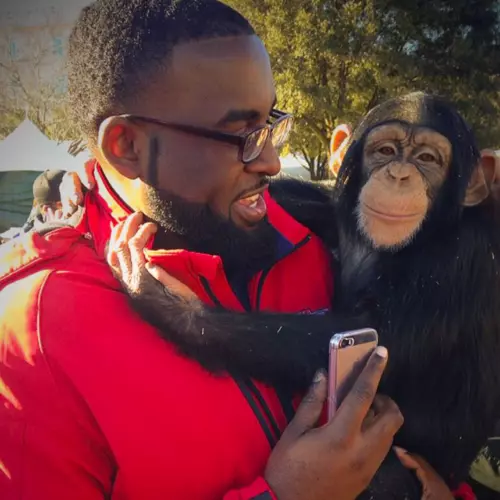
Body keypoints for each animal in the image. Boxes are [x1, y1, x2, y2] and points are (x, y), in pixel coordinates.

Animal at [118, 93, 500, 496]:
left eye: (428, 158)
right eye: (386, 150)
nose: (399, 175)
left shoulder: (462, 260)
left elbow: (367, 331)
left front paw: (167, 301)